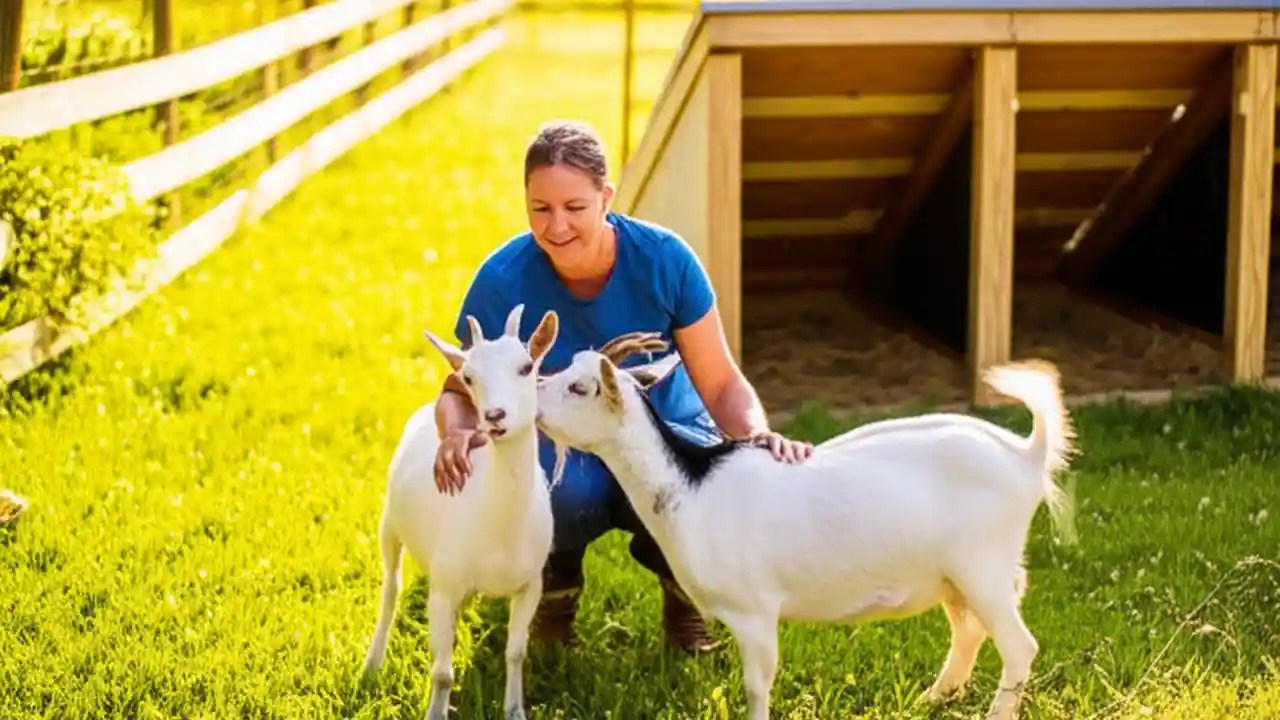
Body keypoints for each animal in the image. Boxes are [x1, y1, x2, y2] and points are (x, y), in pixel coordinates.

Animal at [362, 304, 559, 720]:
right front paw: (435, 712)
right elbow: (442, 673)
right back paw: (372, 664)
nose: (495, 415)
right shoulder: (443, 589)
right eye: (468, 377)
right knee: (391, 587)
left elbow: (515, 652)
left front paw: (515, 710)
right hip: (390, 526)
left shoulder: (531, 585)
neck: (500, 526)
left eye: (527, 366)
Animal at [533, 334, 1077, 720]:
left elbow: (757, 686)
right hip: (956, 576)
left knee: (1018, 645)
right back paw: (932, 699)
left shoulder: (755, 611)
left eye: (580, 387)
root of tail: (1026, 455)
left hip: (981, 566)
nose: (532, 396)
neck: (694, 489)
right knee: (969, 631)